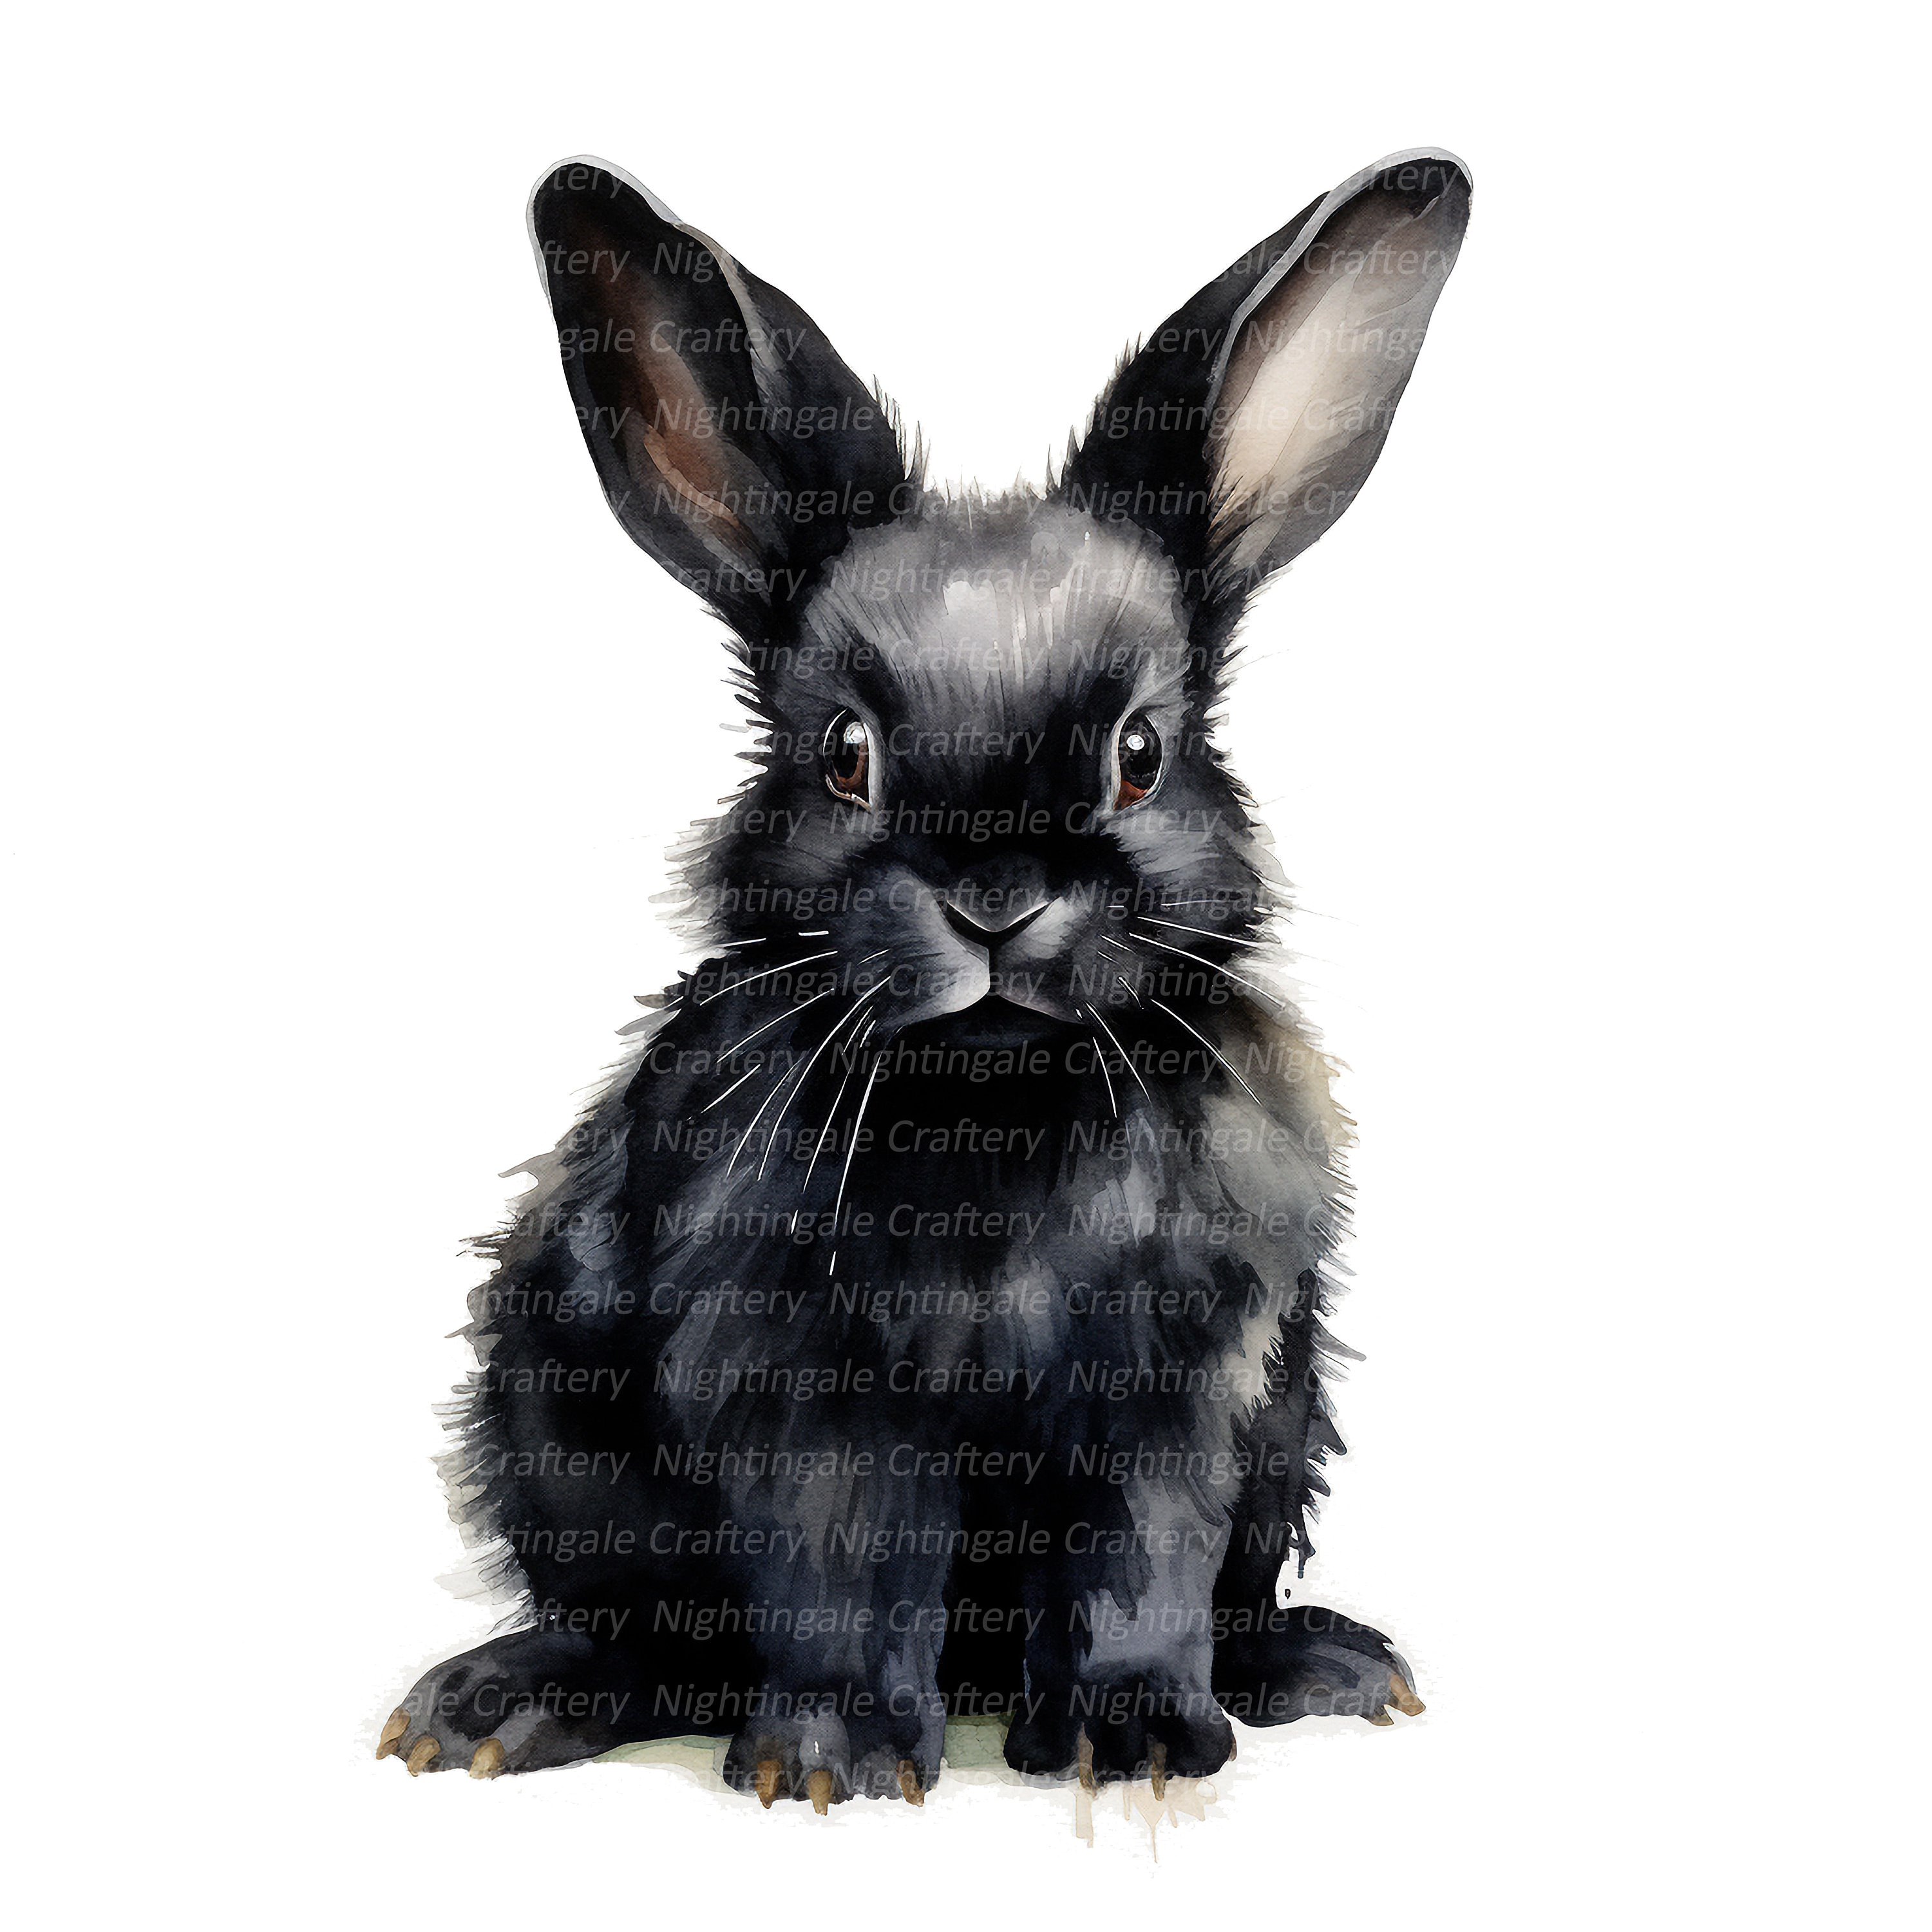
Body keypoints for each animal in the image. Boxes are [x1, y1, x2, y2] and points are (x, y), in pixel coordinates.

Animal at [378, 148, 1470, 1806]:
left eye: (1138, 755)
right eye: (844, 754)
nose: (995, 904)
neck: (994, 1103)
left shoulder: (1179, 1381)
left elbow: (1137, 1560)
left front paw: (1134, 1742)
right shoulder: (804, 1373)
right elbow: (844, 1553)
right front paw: (829, 1757)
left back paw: (1320, 1663)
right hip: (554, 1424)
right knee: (653, 1633)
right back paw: (497, 1704)